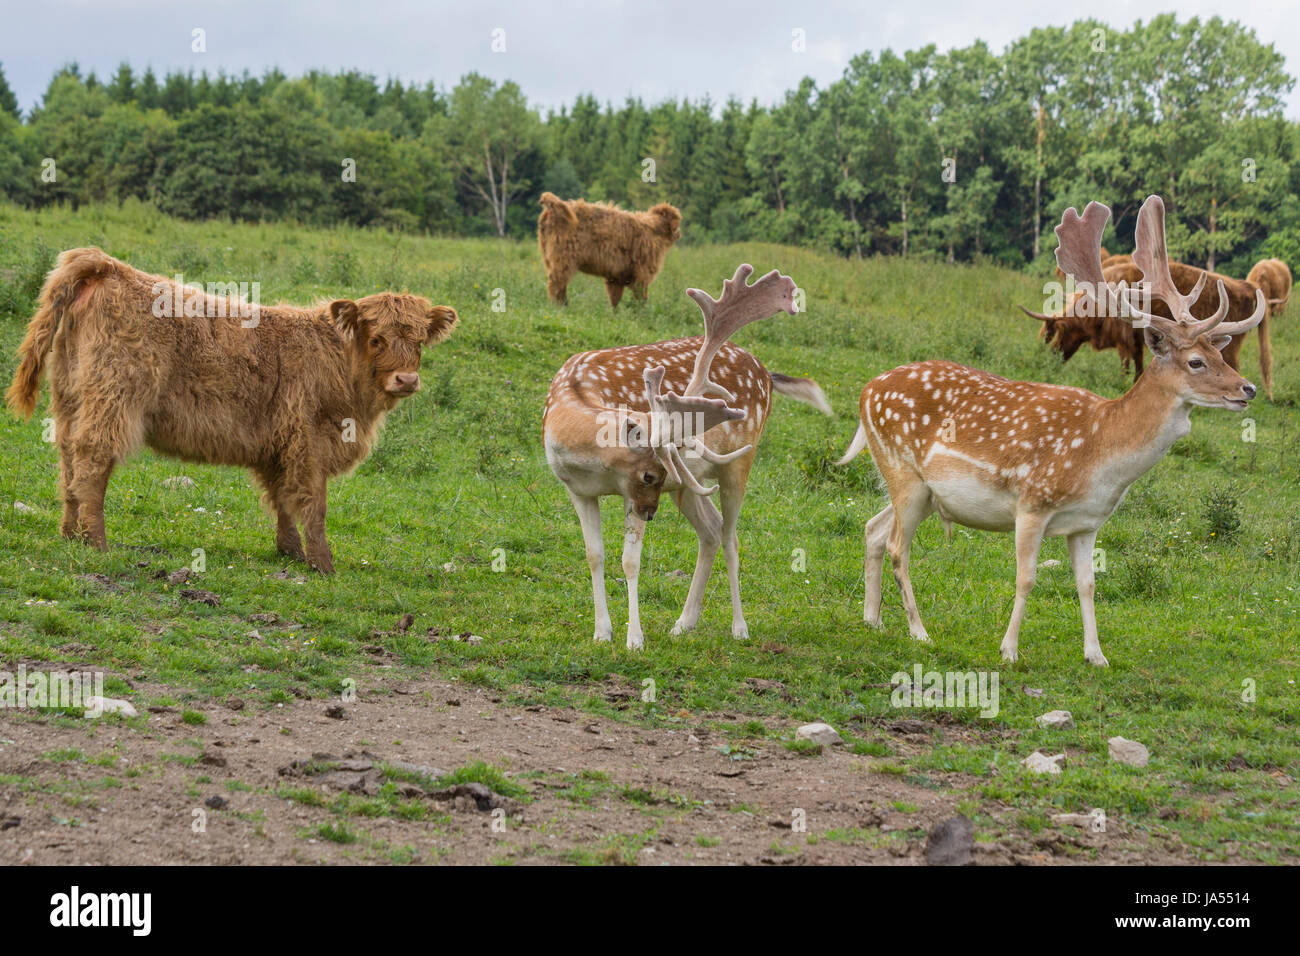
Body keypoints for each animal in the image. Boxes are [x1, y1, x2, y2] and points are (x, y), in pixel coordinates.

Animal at [543, 264, 831, 650]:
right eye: (651, 475)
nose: (651, 515)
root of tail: (767, 374)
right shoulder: (578, 490)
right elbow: (594, 555)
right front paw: (602, 632)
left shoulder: (629, 494)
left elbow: (630, 561)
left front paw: (634, 639)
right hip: (689, 487)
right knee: (710, 532)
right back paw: (683, 623)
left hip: (739, 463)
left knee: (730, 536)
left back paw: (739, 628)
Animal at [837, 196, 1265, 666]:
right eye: (1196, 362)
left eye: (1220, 354)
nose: (1247, 389)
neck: (1101, 456)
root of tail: (866, 390)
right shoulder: (1032, 503)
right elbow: (1026, 578)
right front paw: (1008, 650)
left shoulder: (1087, 524)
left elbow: (1087, 584)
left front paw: (1096, 655)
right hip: (904, 472)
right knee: (898, 546)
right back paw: (919, 631)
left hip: (922, 490)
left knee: (873, 529)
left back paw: (873, 619)